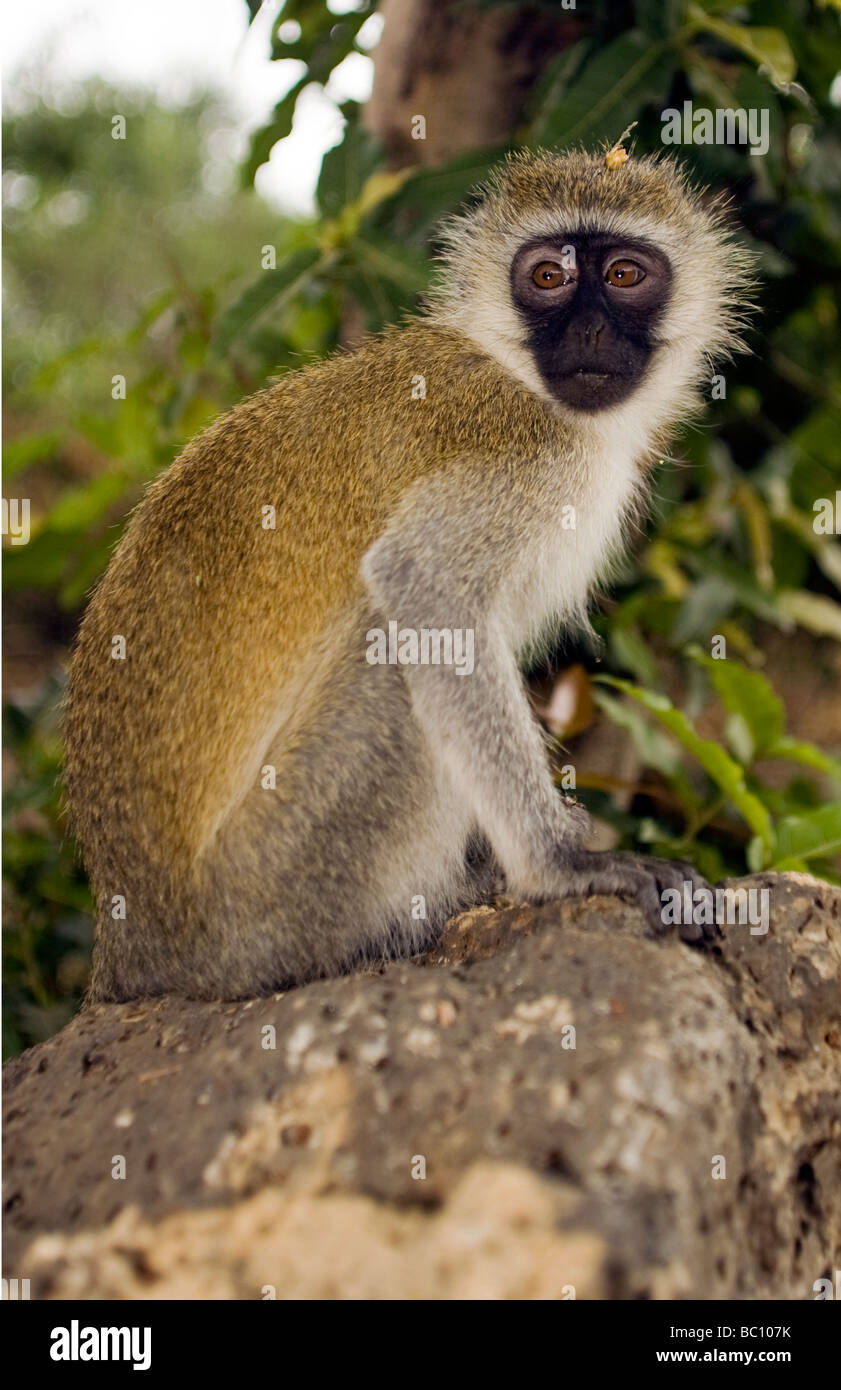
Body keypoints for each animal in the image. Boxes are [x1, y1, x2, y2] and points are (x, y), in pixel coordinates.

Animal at [63, 149, 754, 1003]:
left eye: (624, 274)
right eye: (548, 277)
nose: (589, 329)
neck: (512, 368)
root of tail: (129, 946)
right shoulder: (529, 455)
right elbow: (423, 590)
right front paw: (561, 868)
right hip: (260, 898)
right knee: (392, 652)